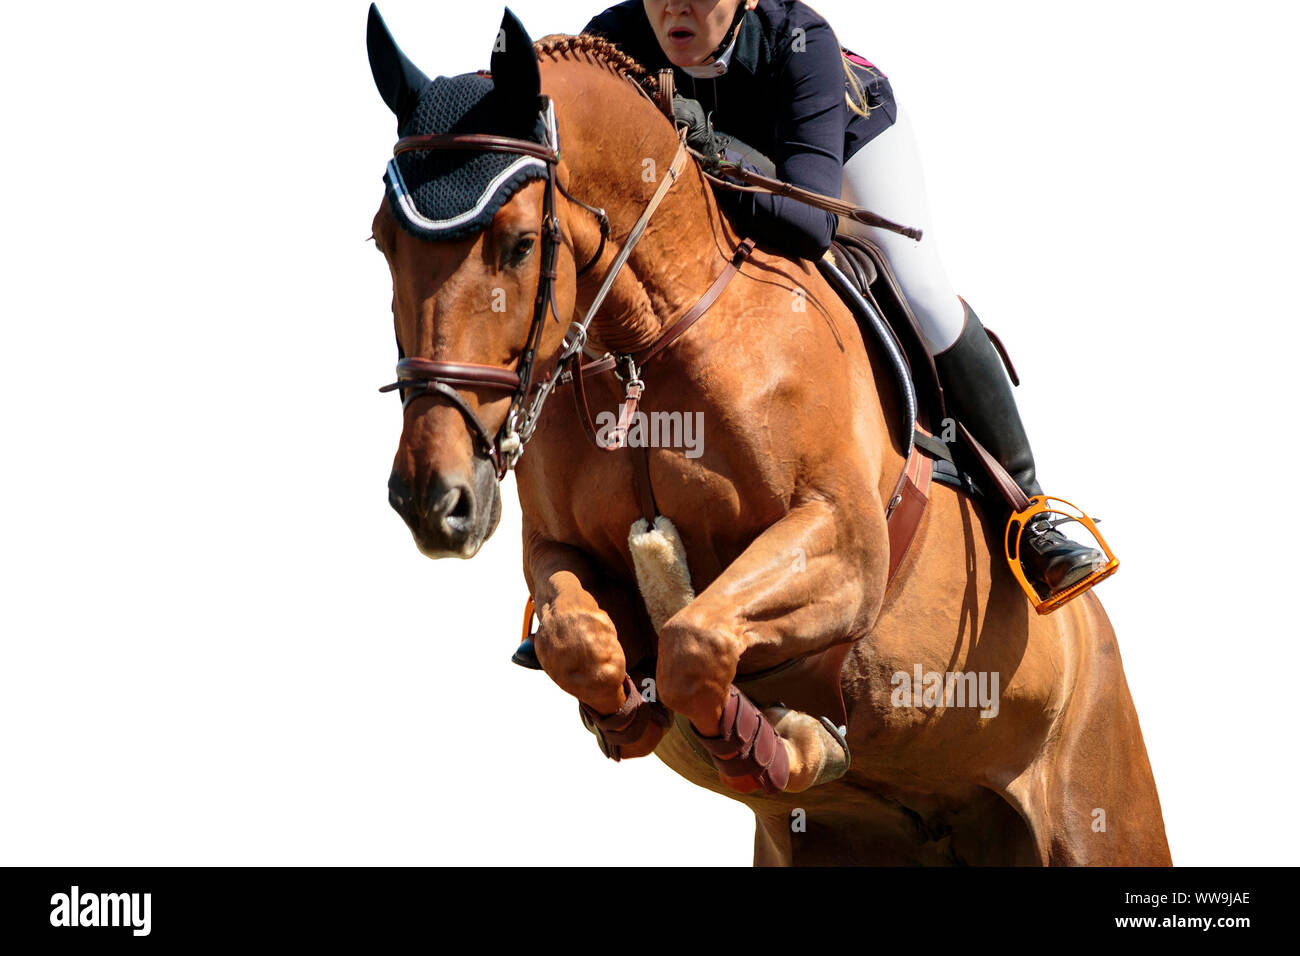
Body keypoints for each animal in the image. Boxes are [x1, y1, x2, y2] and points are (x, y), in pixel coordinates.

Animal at [366, 6, 1171, 865]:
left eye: (519, 243)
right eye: (382, 240)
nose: (431, 498)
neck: (646, 341)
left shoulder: (846, 545)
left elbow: (696, 641)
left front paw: (775, 737)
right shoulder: (556, 551)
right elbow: (581, 640)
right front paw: (631, 712)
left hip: (1102, 807)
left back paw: (1053, 548)